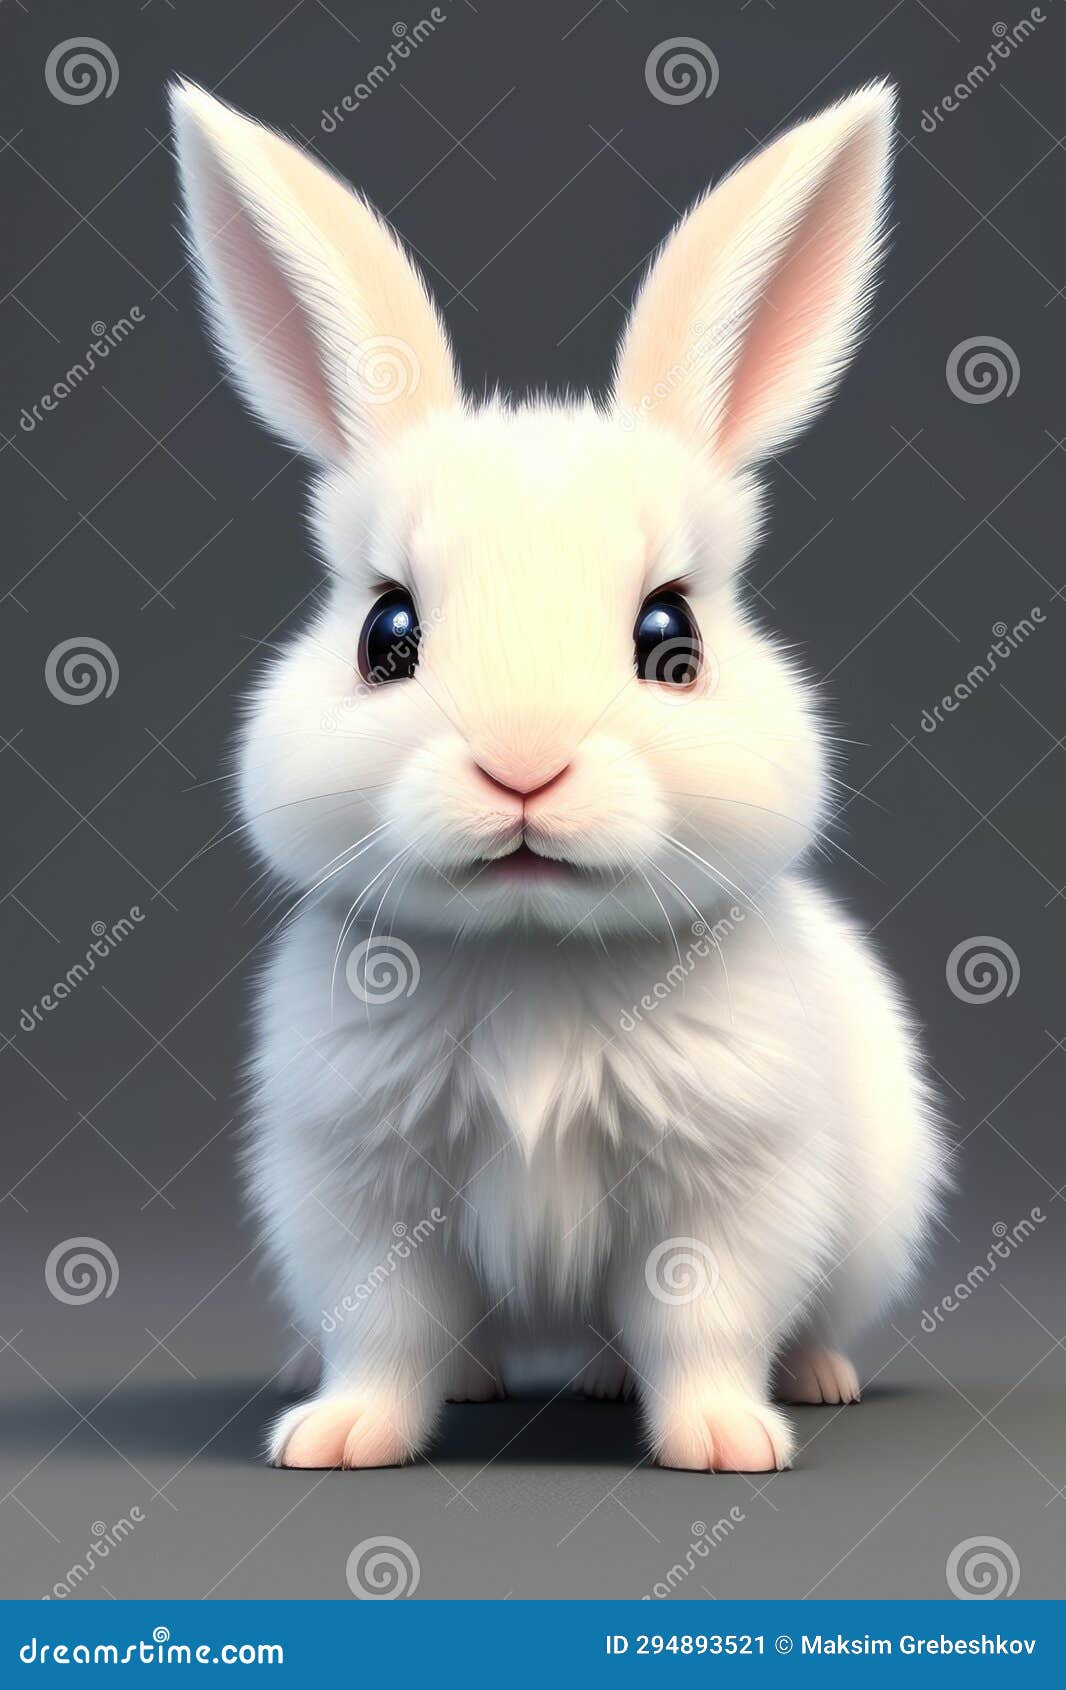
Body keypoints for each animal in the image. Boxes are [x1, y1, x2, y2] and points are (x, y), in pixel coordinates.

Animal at [171, 76, 946, 1473]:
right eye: (385, 634)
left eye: (670, 637)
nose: (521, 767)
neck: (531, 950)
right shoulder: (361, 1188)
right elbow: (387, 1326)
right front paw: (341, 1437)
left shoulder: (726, 1181)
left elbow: (703, 1314)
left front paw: (723, 1441)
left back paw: (804, 1383)